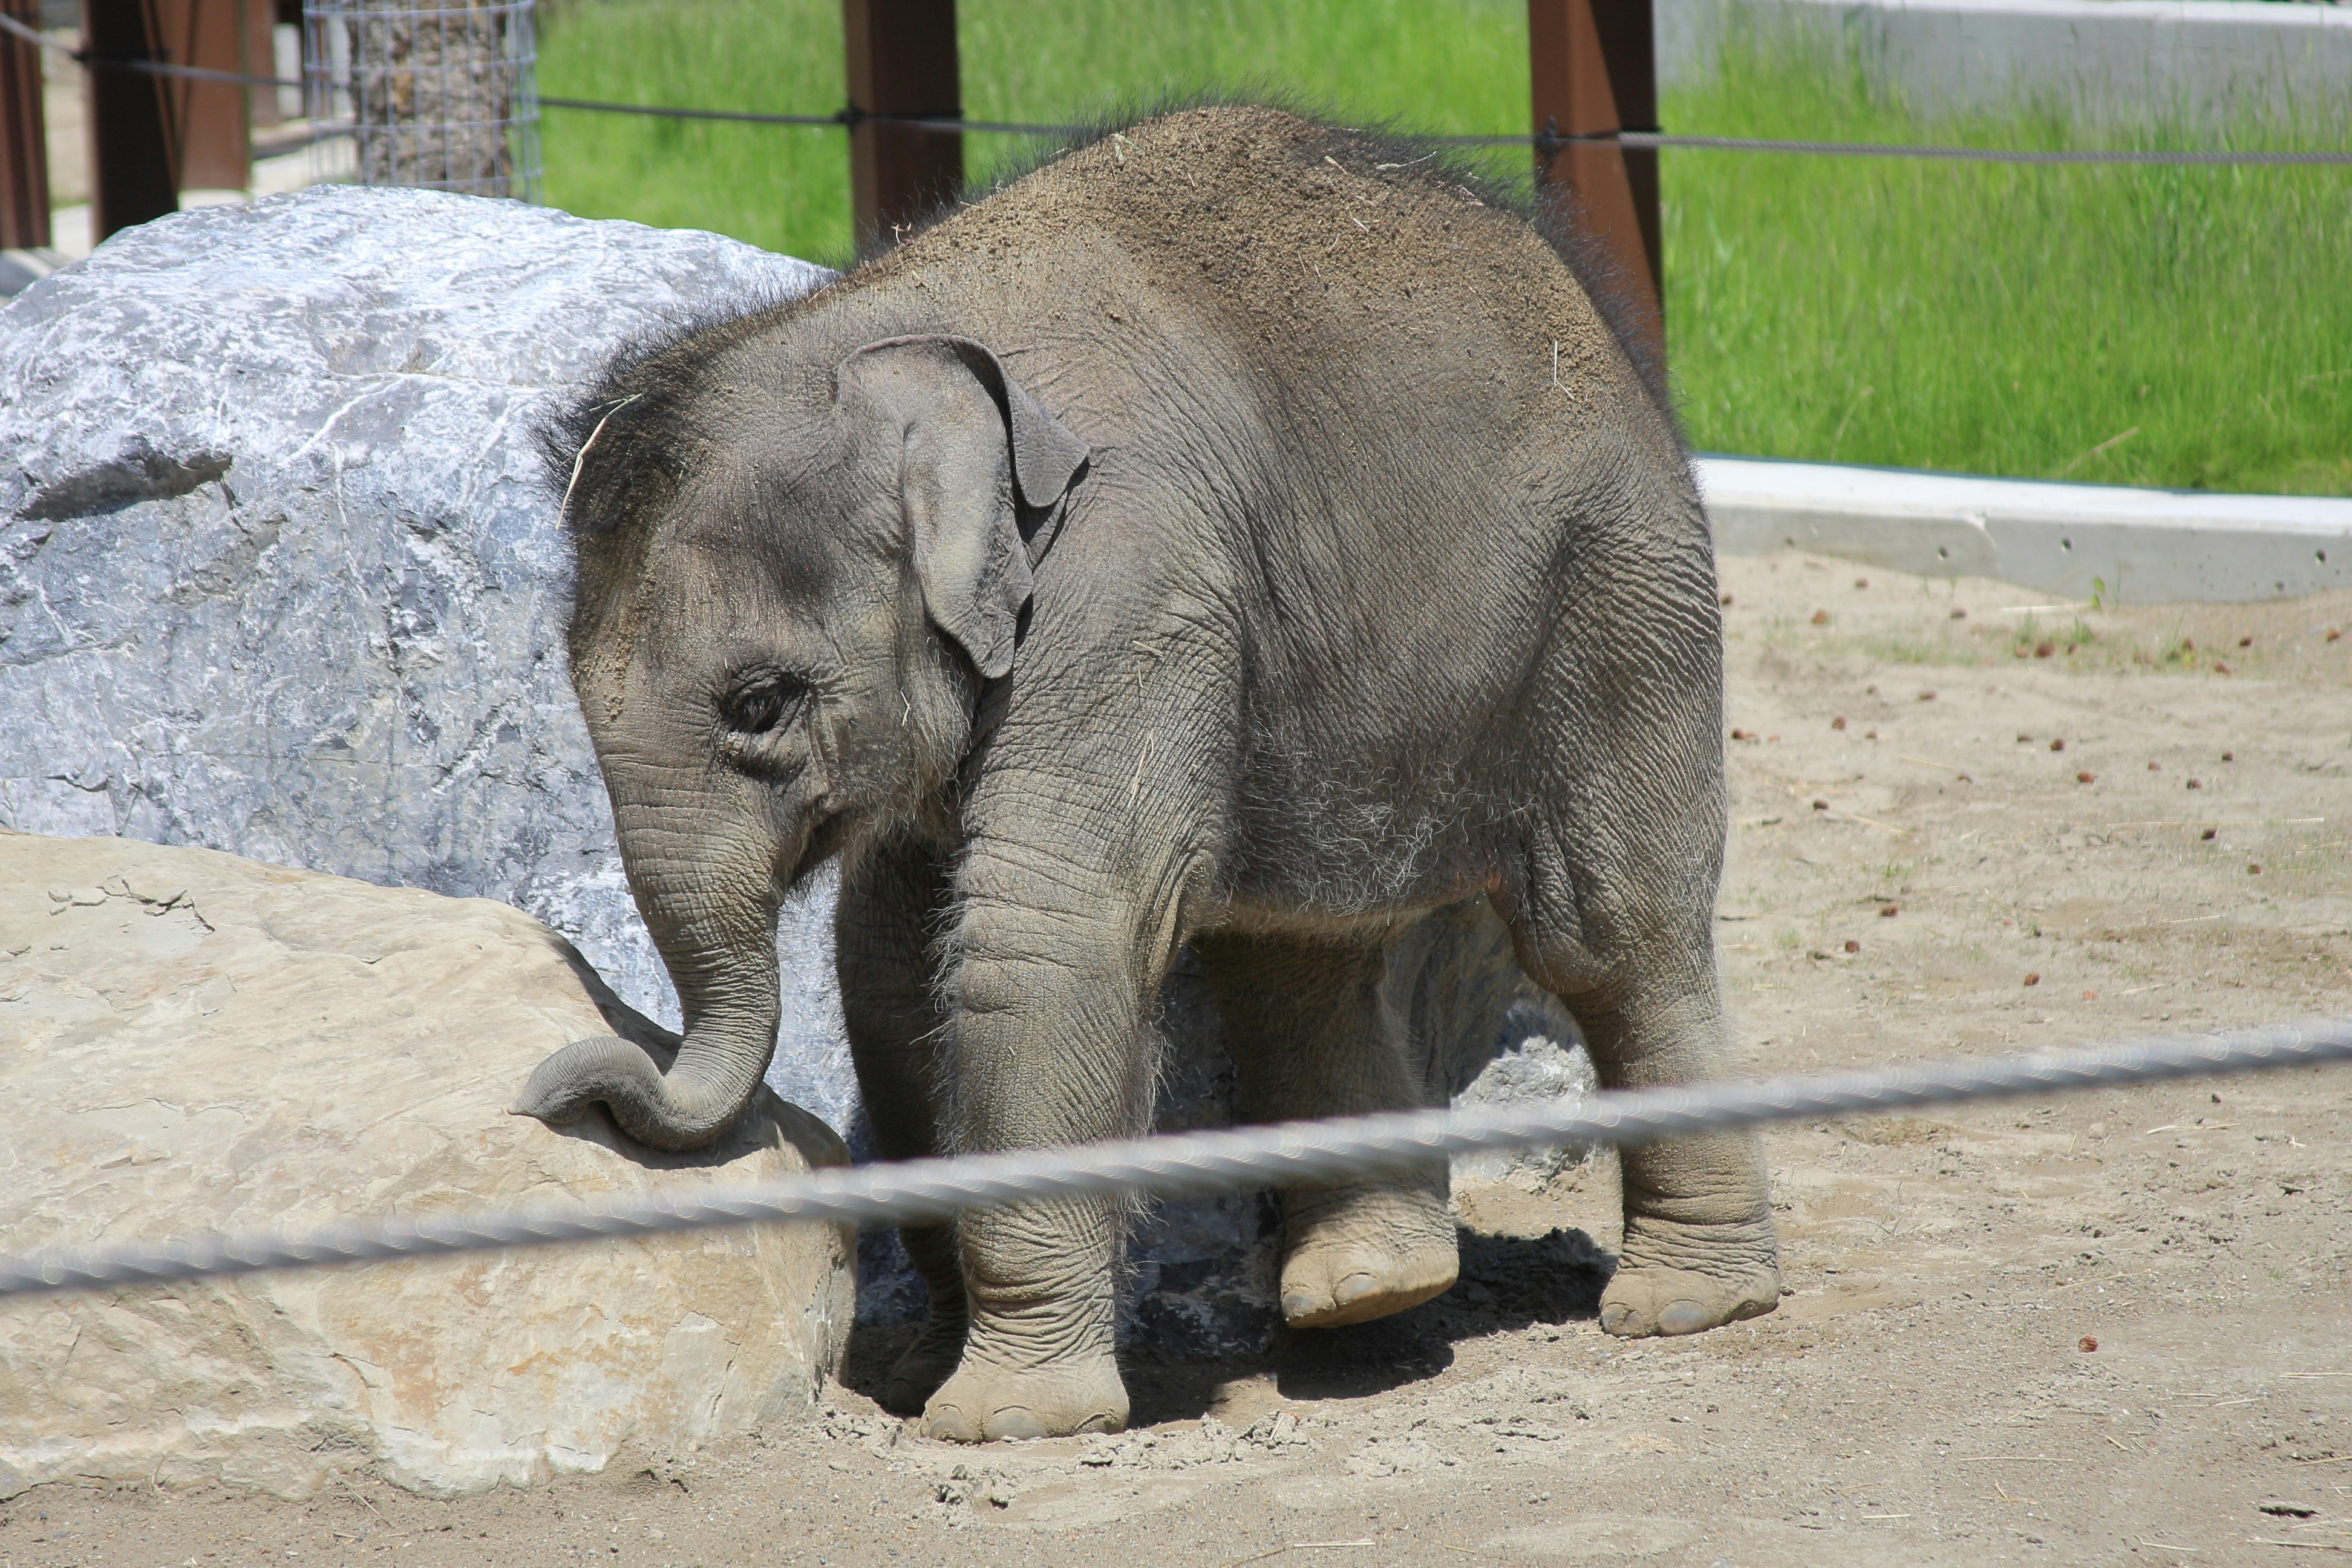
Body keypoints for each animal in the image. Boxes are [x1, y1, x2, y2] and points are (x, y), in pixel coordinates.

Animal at [515, 104, 1780, 1442]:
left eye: (757, 706)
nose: (562, 1091)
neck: (876, 326)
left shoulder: (1125, 578)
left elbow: (1035, 936)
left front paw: (1005, 1420)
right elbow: (895, 954)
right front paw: (925, 1377)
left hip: (1622, 595)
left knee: (1608, 932)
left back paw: (1682, 1305)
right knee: (1295, 947)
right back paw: (1365, 1293)